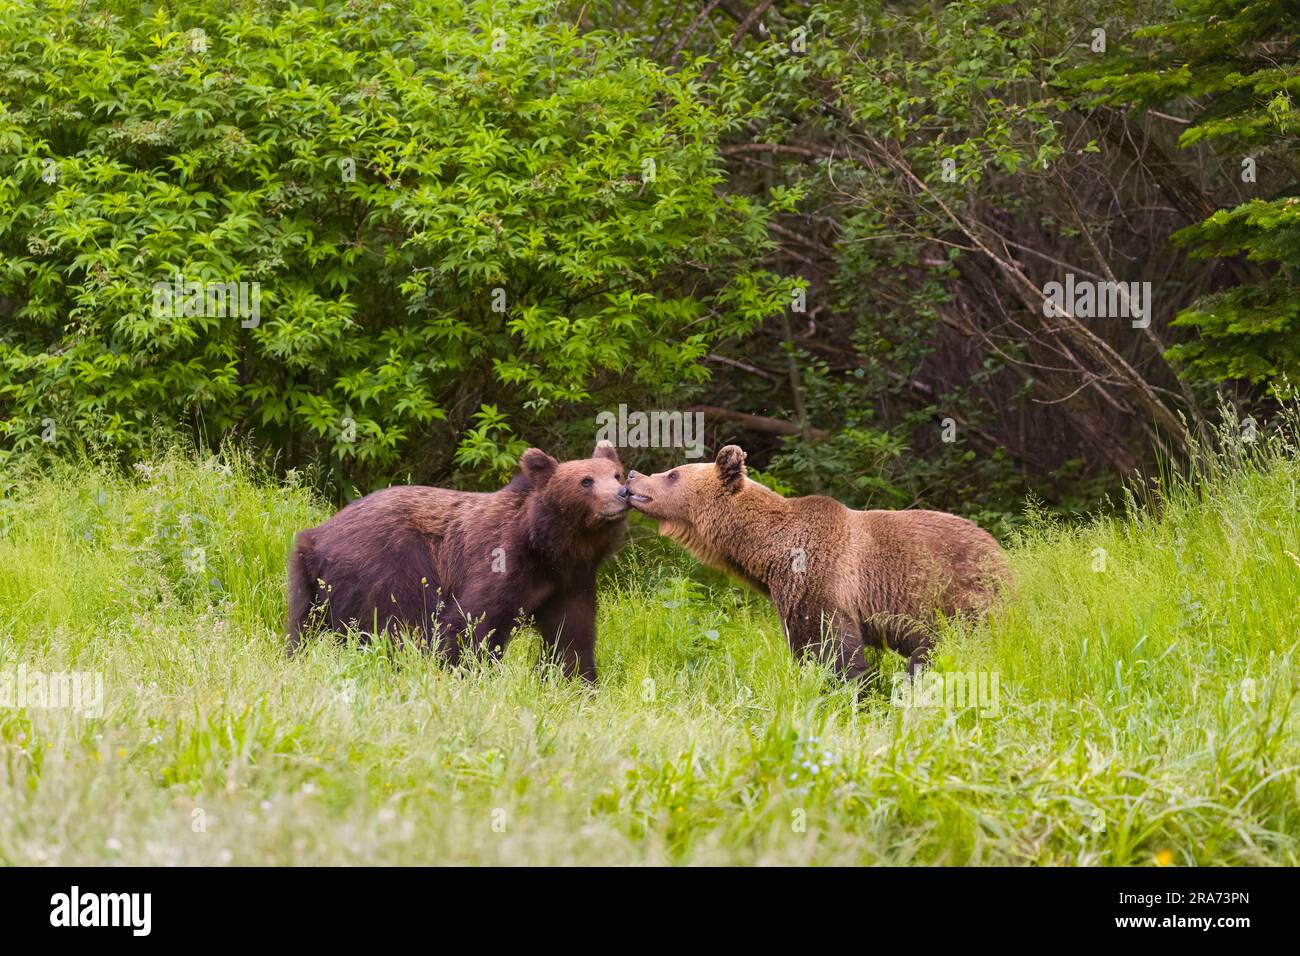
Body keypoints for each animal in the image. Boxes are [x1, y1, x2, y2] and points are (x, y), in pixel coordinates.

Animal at [286, 441, 630, 681]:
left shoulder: (570, 582)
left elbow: (572, 637)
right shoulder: (501, 562)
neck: (549, 547)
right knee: (392, 624)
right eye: (586, 481)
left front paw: (579, 684)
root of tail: (316, 537)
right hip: (386, 566)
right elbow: (468, 624)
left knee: (301, 629)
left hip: (310, 588)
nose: (622, 494)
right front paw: (465, 672)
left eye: (616, 473)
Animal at [624, 445, 1011, 682]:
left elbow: (829, 648)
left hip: (957, 597)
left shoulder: (819, 579)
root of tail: (999, 551)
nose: (631, 475)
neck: (768, 550)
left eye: (672, 474)